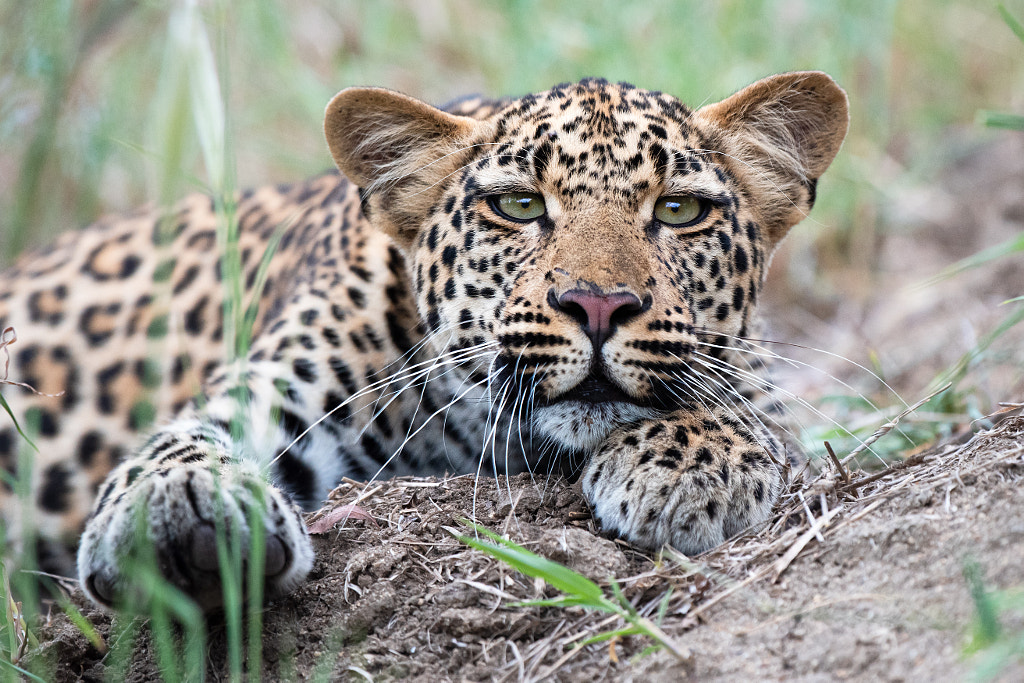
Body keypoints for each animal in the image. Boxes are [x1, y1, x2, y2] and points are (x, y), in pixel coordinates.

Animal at [0, 72, 848, 610]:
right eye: (518, 205)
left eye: (678, 211)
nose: (598, 304)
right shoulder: (275, 386)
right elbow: (177, 442)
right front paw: (179, 511)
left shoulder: (762, 380)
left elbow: (754, 415)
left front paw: (689, 462)